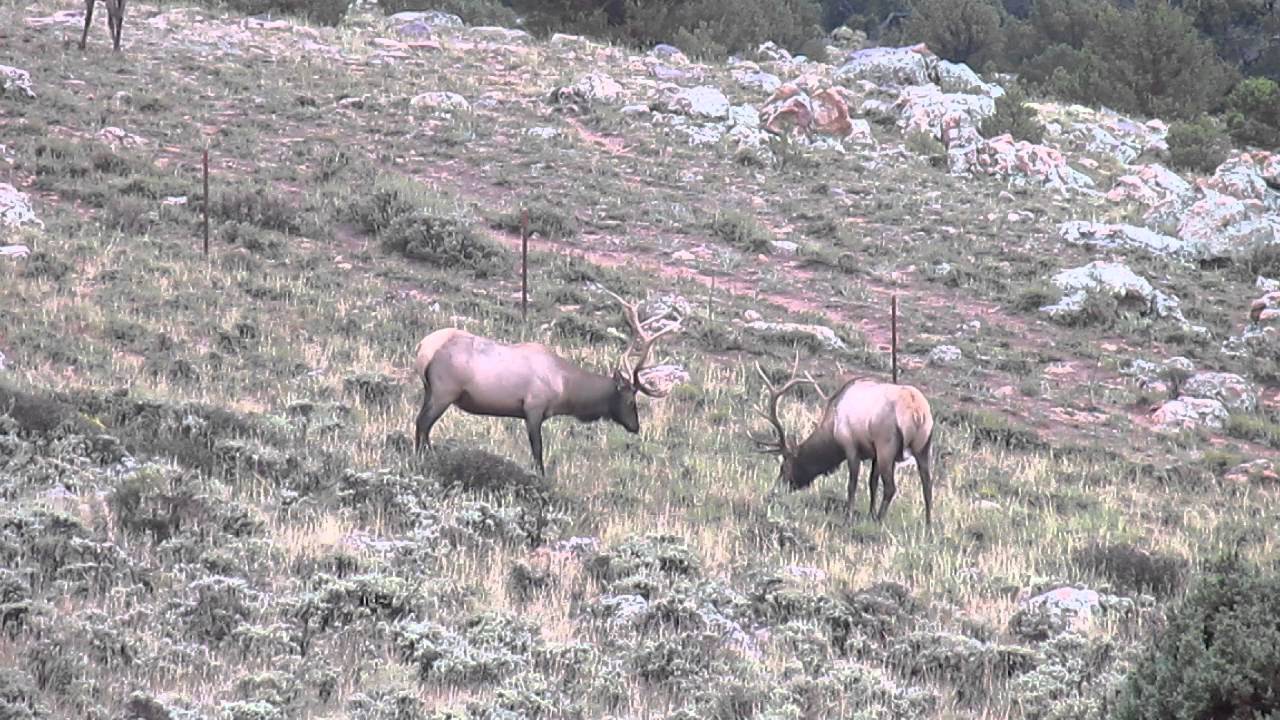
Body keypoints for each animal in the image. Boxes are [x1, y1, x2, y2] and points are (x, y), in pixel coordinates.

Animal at [412, 290, 683, 476]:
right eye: (630, 399)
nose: (636, 426)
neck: (565, 388)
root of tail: (423, 348)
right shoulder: (534, 408)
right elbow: (537, 451)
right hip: (444, 392)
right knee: (423, 423)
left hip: (430, 391)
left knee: (421, 424)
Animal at [754, 355, 936, 527]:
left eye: (784, 467)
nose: (772, 492)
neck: (832, 428)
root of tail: (917, 411)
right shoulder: (874, 452)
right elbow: (872, 482)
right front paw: (869, 514)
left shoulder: (851, 445)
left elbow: (852, 484)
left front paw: (849, 518)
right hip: (923, 446)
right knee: (927, 485)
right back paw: (928, 527)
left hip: (886, 443)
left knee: (891, 487)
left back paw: (880, 520)